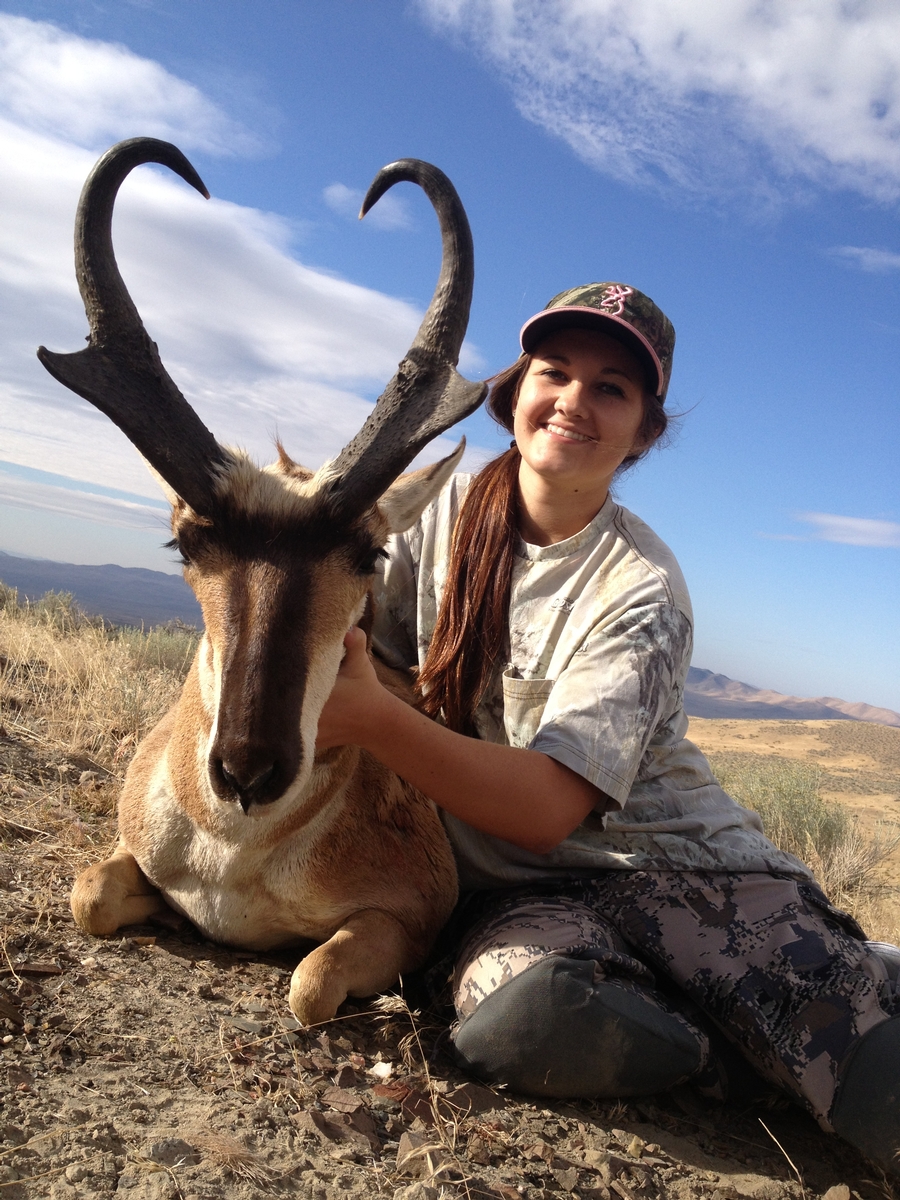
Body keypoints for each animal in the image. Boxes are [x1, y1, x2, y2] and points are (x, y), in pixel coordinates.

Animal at [38, 138, 485, 1025]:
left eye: (370, 553)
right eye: (184, 542)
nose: (248, 771)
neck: (232, 852)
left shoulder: (408, 919)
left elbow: (309, 987)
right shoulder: (122, 859)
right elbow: (89, 896)